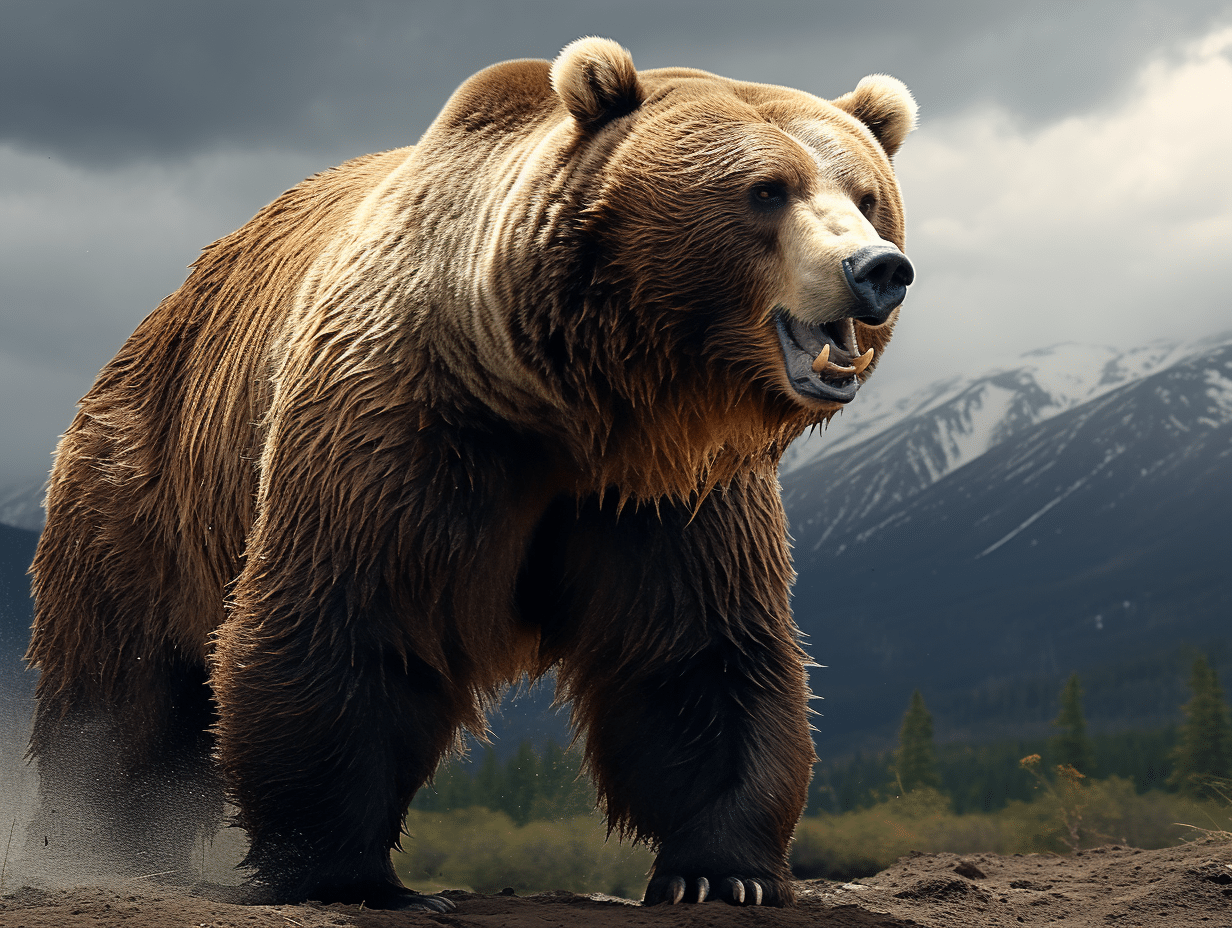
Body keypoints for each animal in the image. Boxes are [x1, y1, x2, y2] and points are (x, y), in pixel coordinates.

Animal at [25, 37, 915, 910]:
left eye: (867, 194)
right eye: (767, 190)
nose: (877, 268)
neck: (573, 404)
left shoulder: (669, 491)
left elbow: (697, 647)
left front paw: (722, 870)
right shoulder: (410, 428)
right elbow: (350, 614)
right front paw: (346, 871)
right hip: (142, 488)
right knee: (120, 688)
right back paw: (98, 837)